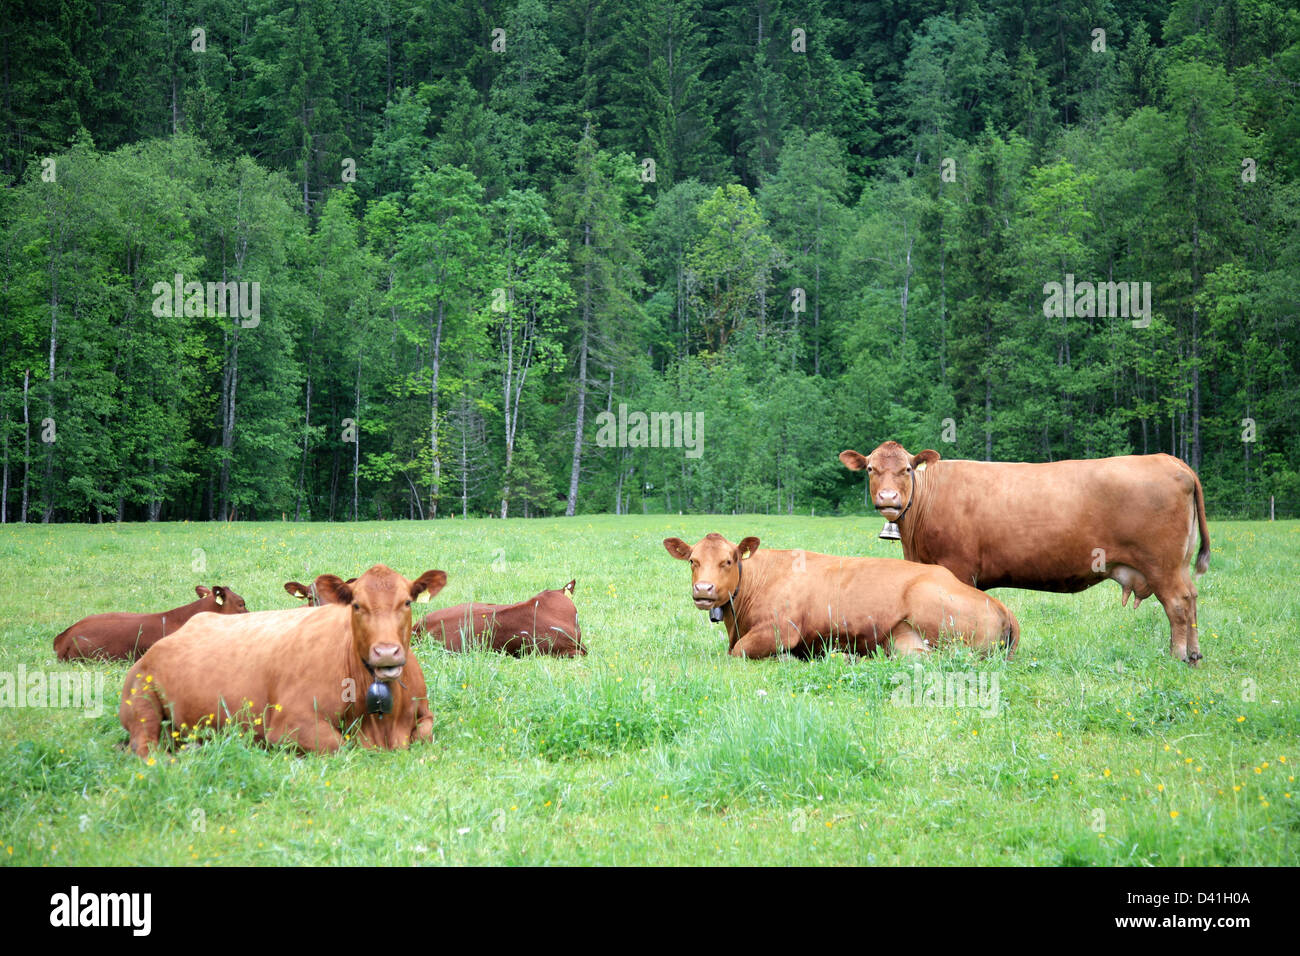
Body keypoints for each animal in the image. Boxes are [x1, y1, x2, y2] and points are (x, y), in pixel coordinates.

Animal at [120, 565, 444, 757]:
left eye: (407, 602)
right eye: (356, 605)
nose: (386, 652)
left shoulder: (425, 715)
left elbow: (425, 733)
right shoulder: (289, 724)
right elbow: (342, 745)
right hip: (141, 702)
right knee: (143, 746)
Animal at [662, 533, 1018, 659]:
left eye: (729, 560)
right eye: (693, 560)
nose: (703, 590)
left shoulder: (780, 630)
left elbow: (739, 652)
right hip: (900, 638)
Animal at [839, 441, 1211, 664]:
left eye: (907, 469)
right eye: (871, 468)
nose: (888, 498)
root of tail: (1169, 460)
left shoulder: (958, 568)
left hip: (1163, 565)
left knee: (1178, 604)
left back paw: (1179, 654)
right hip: (1176, 565)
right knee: (1191, 599)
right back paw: (1193, 653)